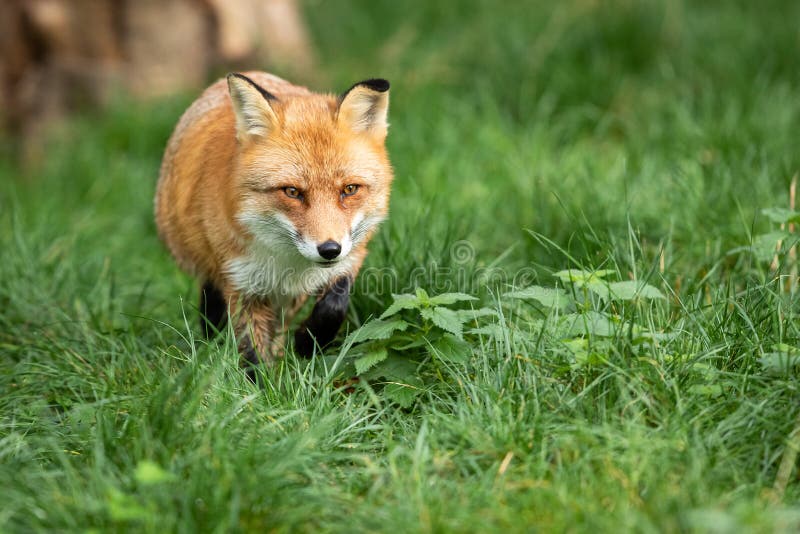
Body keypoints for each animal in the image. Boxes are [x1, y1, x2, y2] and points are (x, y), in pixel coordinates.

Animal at [155, 71, 392, 374]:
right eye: (292, 192)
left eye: (349, 189)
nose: (329, 250)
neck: (286, 261)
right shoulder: (242, 281)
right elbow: (251, 350)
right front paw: (260, 384)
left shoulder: (350, 257)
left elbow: (334, 307)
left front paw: (308, 342)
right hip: (214, 273)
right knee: (214, 316)